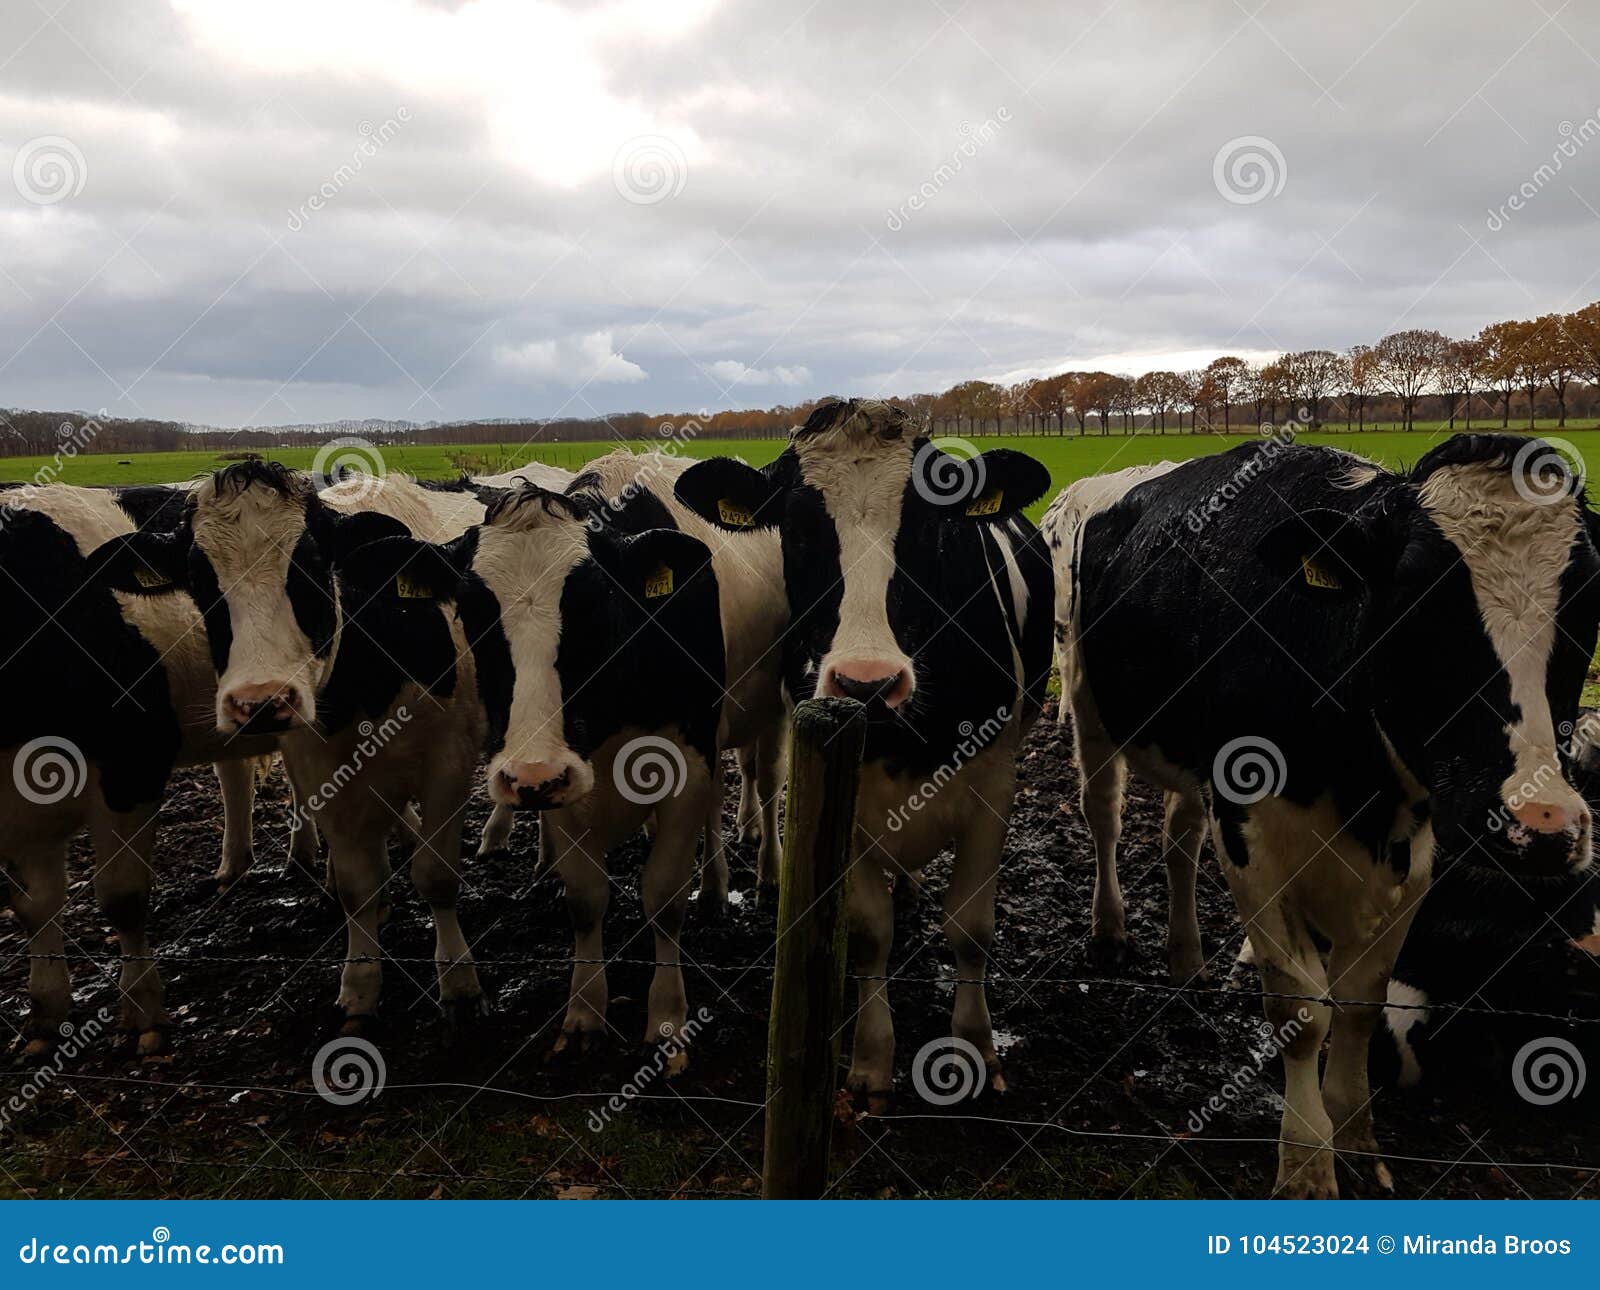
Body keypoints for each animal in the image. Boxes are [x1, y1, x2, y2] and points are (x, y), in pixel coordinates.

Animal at [87, 462, 491, 1030]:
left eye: (313, 568)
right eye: (201, 582)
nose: (259, 702)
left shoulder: (449, 763)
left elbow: (436, 876)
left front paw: (457, 981)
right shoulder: (322, 767)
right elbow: (357, 885)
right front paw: (360, 984)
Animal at [335, 481, 725, 1063]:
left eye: (594, 603)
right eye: (472, 612)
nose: (533, 773)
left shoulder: (692, 763)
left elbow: (664, 897)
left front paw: (667, 1019)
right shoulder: (564, 788)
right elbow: (586, 899)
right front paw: (585, 1011)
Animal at [672, 398, 1055, 1102]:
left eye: (933, 527)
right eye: (796, 530)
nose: (867, 684)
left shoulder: (995, 786)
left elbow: (971, 929)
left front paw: (975, 1046)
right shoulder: (843, 795)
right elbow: (869, 932)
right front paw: (873, 1059)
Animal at [1052, 434, 1600, 1197]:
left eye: (1589, 601)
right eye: (1418, 598)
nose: (1542, 825)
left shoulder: (1417, 853)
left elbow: (1362, 1003)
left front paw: (1357, 1138)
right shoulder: (1249, 832)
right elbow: (1301, 1009)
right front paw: (1306, 1167)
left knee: (1179, 841)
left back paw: (1187, 956)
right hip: (1088, 698)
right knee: (1102, 815)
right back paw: (1110, 929)